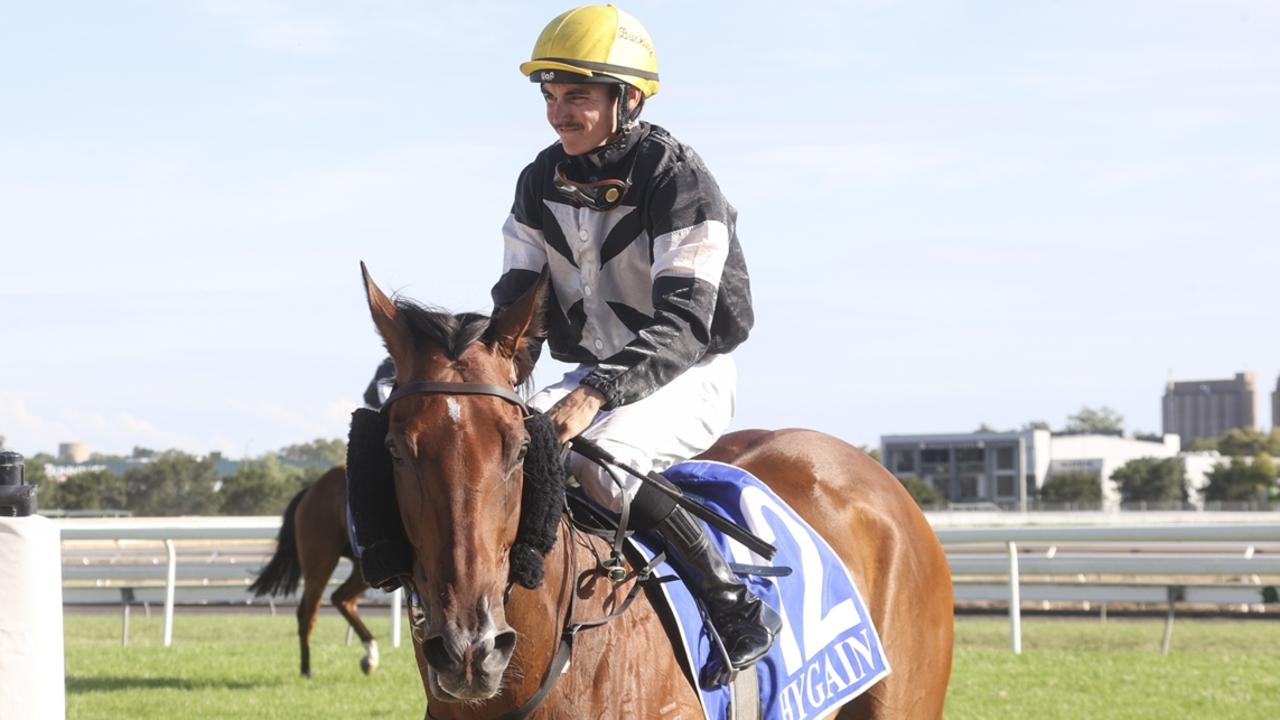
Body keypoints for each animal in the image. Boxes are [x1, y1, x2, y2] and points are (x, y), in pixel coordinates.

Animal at [248, 465, 381, 677]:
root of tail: (312, 488)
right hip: (320, 563)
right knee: (309, 614)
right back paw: (307, 670)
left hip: (364, 569)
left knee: (340, 598)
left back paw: (370, 657)